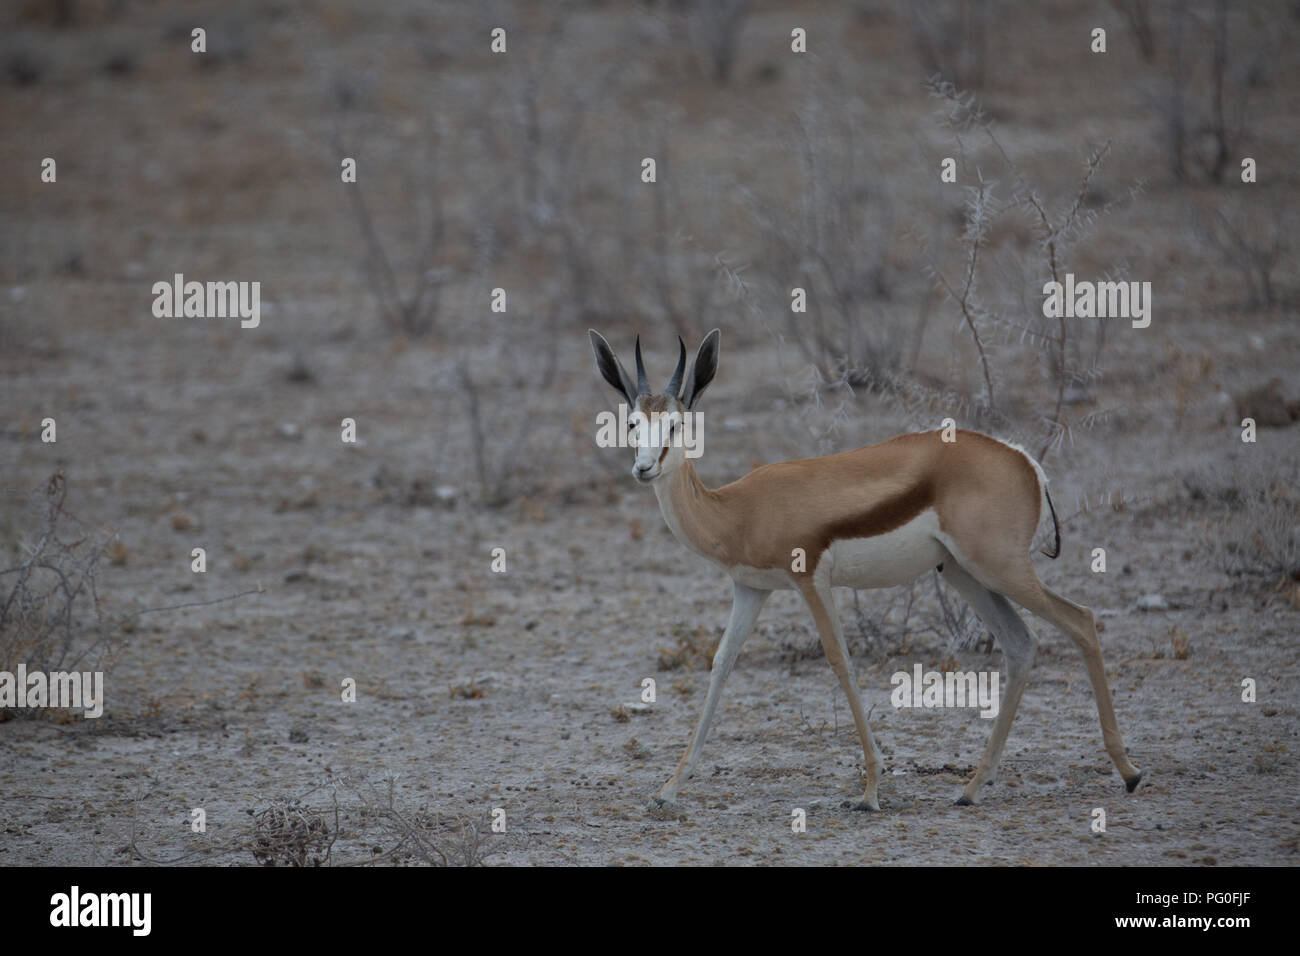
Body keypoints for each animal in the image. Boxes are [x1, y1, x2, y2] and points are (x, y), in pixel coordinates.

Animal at [589, 328, 1142, 813]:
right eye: (633, 424)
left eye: (676, 426)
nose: (643, 469)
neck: (737, 509)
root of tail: (1024, 460)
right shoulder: (750, 588)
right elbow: (723, 663)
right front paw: (667, 790)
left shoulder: (810, 579)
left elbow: (840, 660)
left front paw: (870, 792)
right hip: (962, 573)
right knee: (1021, 643)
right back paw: (971, 788)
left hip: (1000, 567)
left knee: (1082, 620)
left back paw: (1129, 772)